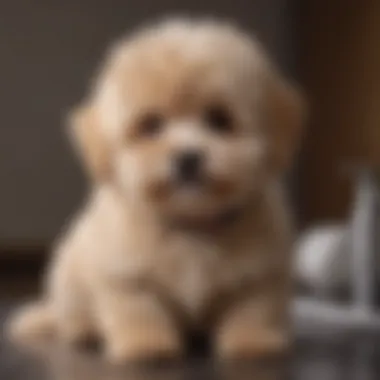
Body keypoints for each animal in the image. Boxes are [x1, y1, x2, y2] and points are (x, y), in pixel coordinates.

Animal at [7, 19, 304, 364]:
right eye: (151, 125)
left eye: (220, 119)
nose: (188, 157)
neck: (191, 226)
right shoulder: (123, 275)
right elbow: (139, 308)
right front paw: (146, 344)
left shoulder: (263, 273)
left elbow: (254, 308)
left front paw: (253, 342)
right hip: (69, 279)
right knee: (75, 316)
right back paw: (84, 332)